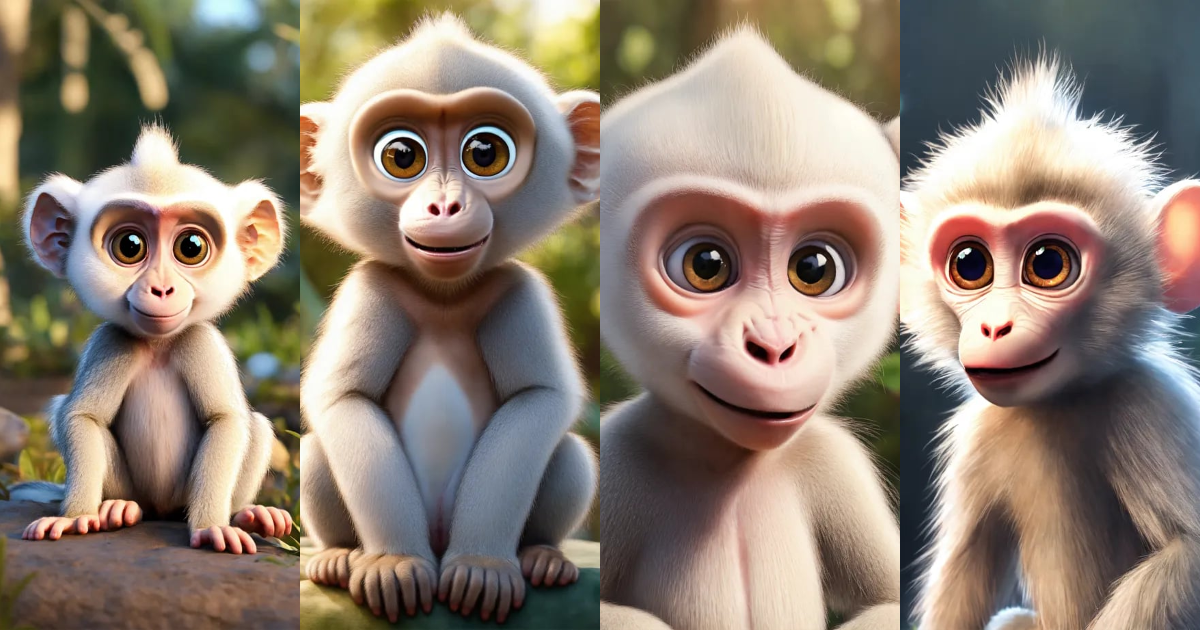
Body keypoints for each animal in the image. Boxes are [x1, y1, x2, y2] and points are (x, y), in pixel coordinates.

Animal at [14, 125, 293, 555]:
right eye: (130, 246)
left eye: (191, 248)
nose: (161, 289)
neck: (159, 345)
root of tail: (161, 508)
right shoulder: (111, 341)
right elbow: (81, 417)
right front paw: (76, 516)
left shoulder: (200, 341)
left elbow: (227, 421)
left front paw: (212, 525)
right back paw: (116, 508)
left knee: (257, 426)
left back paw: (248, 514)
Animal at [298, 14, 599, 624]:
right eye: (401, 156)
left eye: (485, 152)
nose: (444, 206)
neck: (443, 294)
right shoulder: (369, 288)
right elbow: (344, 400)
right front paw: (394, 563)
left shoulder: (521, 290)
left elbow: (537, 401)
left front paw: (482, 566)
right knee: (316, 449)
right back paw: (340, 555)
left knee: (570, 453)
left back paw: (541, 555)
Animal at [598, 28, 901, 630]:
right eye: (706, 265)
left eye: (814, 269)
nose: (775, 346)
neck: (729, 460)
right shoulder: (617, 455)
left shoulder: (834, 459)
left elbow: (891, 599)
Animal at [903, 56, 1200, 630]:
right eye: (970, 264)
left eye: (1047, 264)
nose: (995, 328)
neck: (1054, 405)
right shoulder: (979, 434)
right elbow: (966, 573)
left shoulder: (1149, 406)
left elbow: (1189, 549)